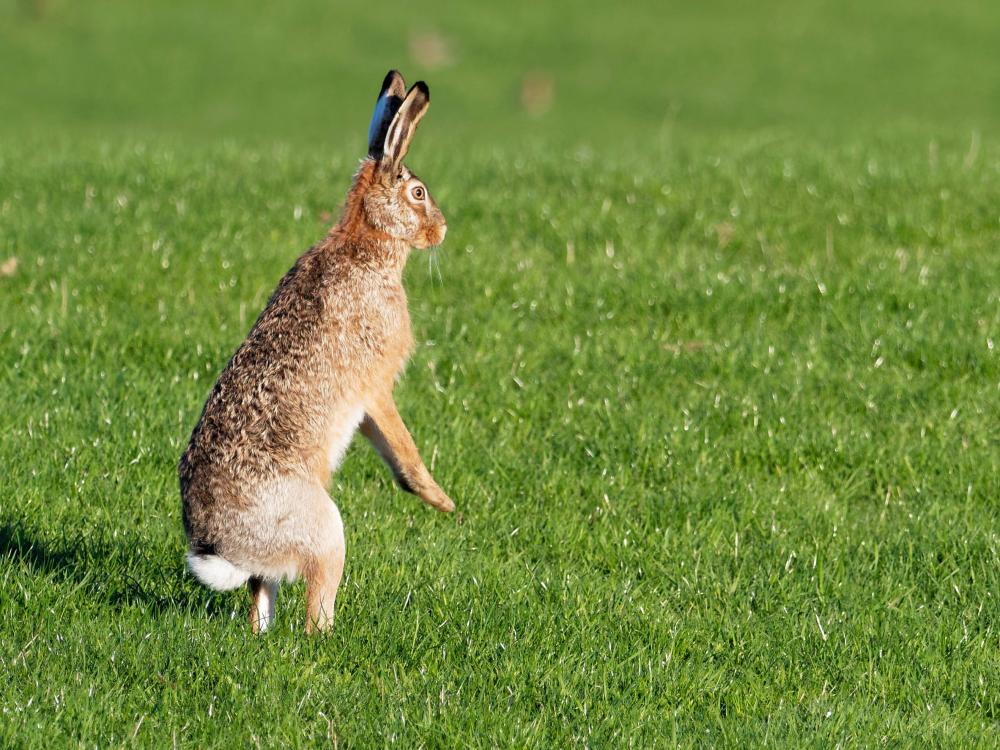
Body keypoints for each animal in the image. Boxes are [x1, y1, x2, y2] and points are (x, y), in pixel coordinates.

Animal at [178, 70, 454, 634]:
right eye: (417, 192)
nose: (442, 229)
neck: (368, 243)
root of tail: (217, 546)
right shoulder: (375, 386)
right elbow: (403, 445)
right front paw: (441, 500)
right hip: (325, 529)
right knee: (314, 604)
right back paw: (329, 636)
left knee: (261, 598)